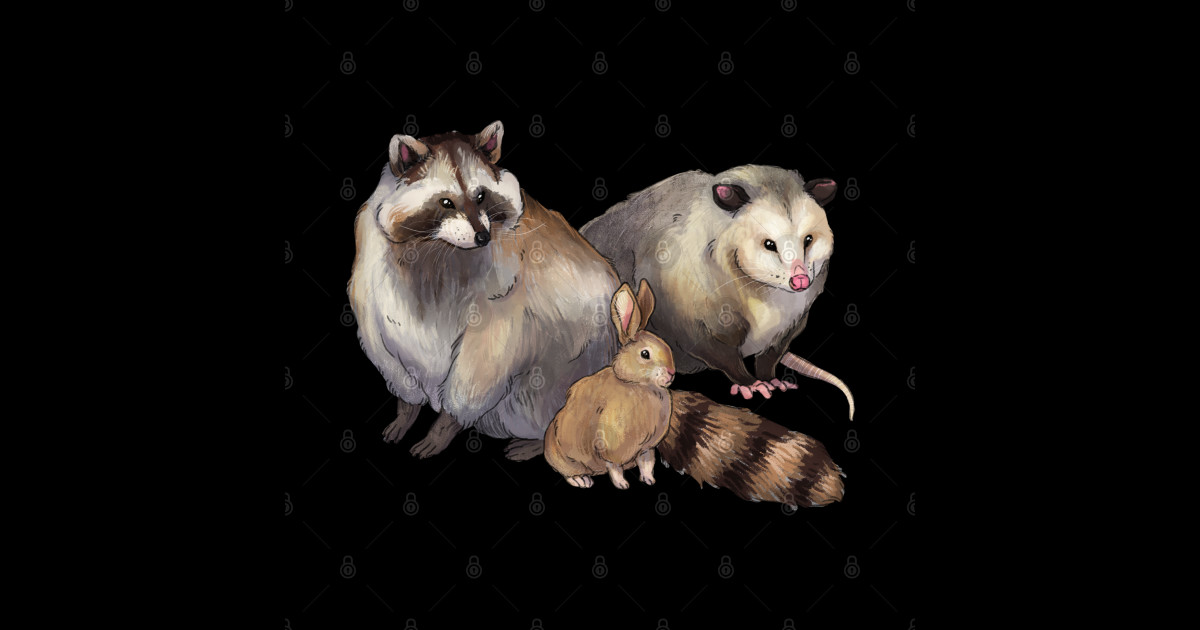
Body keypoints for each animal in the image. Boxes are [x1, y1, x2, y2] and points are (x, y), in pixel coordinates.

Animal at [543, 279, 676, 489]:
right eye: (645, 354)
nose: (671, 373)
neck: (637, 384)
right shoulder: (610, 448)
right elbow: (615, 468)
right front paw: (622, 485)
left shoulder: (646, 448)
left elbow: (646, 463)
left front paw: (649, 480)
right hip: (563, 457)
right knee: (568, 472)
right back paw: (582, 480)